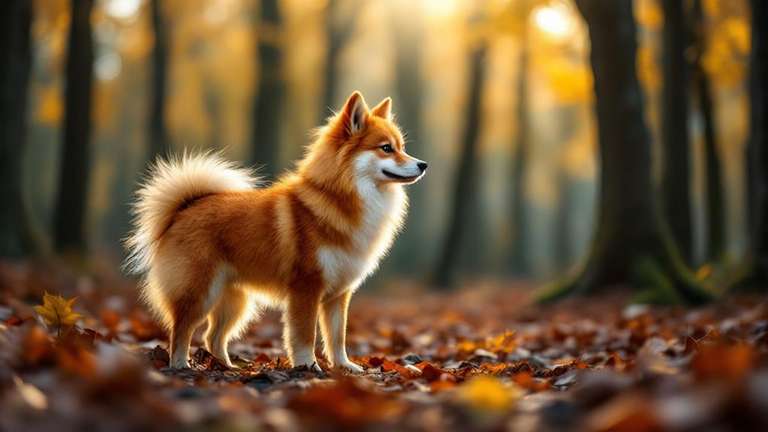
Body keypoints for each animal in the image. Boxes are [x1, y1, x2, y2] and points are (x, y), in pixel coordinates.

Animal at [125, 91, 427, 371]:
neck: (341, 198)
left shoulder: (339, 295)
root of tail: (185, 207)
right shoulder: (306, 289)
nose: (423, 164)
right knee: (181, 330)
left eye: (402, 147)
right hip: (200, 292)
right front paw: (308, 367)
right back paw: (180, 365)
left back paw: (227, 368)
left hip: (235, 302)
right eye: (386, 148)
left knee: (213, 337)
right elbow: (305, 335)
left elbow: (337, 337)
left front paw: (344, 366)